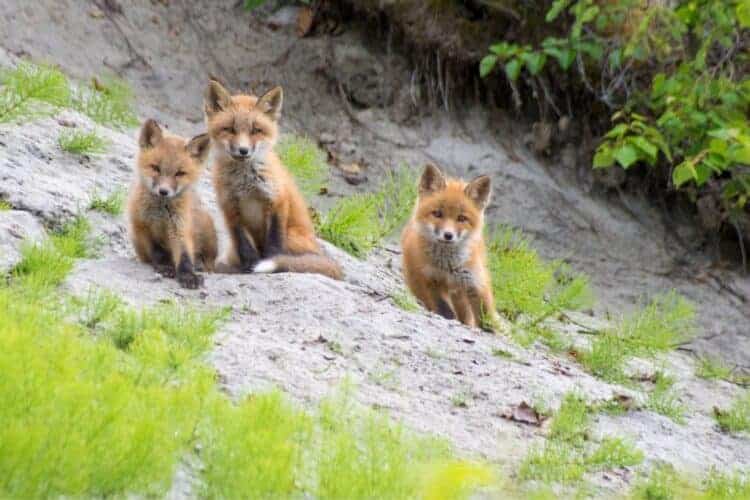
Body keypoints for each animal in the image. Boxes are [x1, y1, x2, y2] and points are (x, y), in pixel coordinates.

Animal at [128, 119, 217, 289]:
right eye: (155, 168)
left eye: (179, 173)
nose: (163, 191)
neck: (160, 215)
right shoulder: (142, 228)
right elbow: (157, 253)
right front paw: (165, 267)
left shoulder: (180, 227)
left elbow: (184, 255)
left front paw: (188, 275)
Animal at [203, 79, 342, 280]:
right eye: (229, 129)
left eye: (256, 130)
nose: (243, 151)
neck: (245, 182)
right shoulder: (230, 208)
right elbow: (244, 246)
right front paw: (249, 266)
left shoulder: (276, 200)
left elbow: (274, 244)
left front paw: (268, 263)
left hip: (293, 238)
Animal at [401, 164, 497, 329]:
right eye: (437, 214)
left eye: (462, 218)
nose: (448, 235)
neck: (448, 266)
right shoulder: (428, 279)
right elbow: (443, 309)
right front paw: (447, 318)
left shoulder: (475, 281)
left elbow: (486, 316)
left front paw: (492, 331)